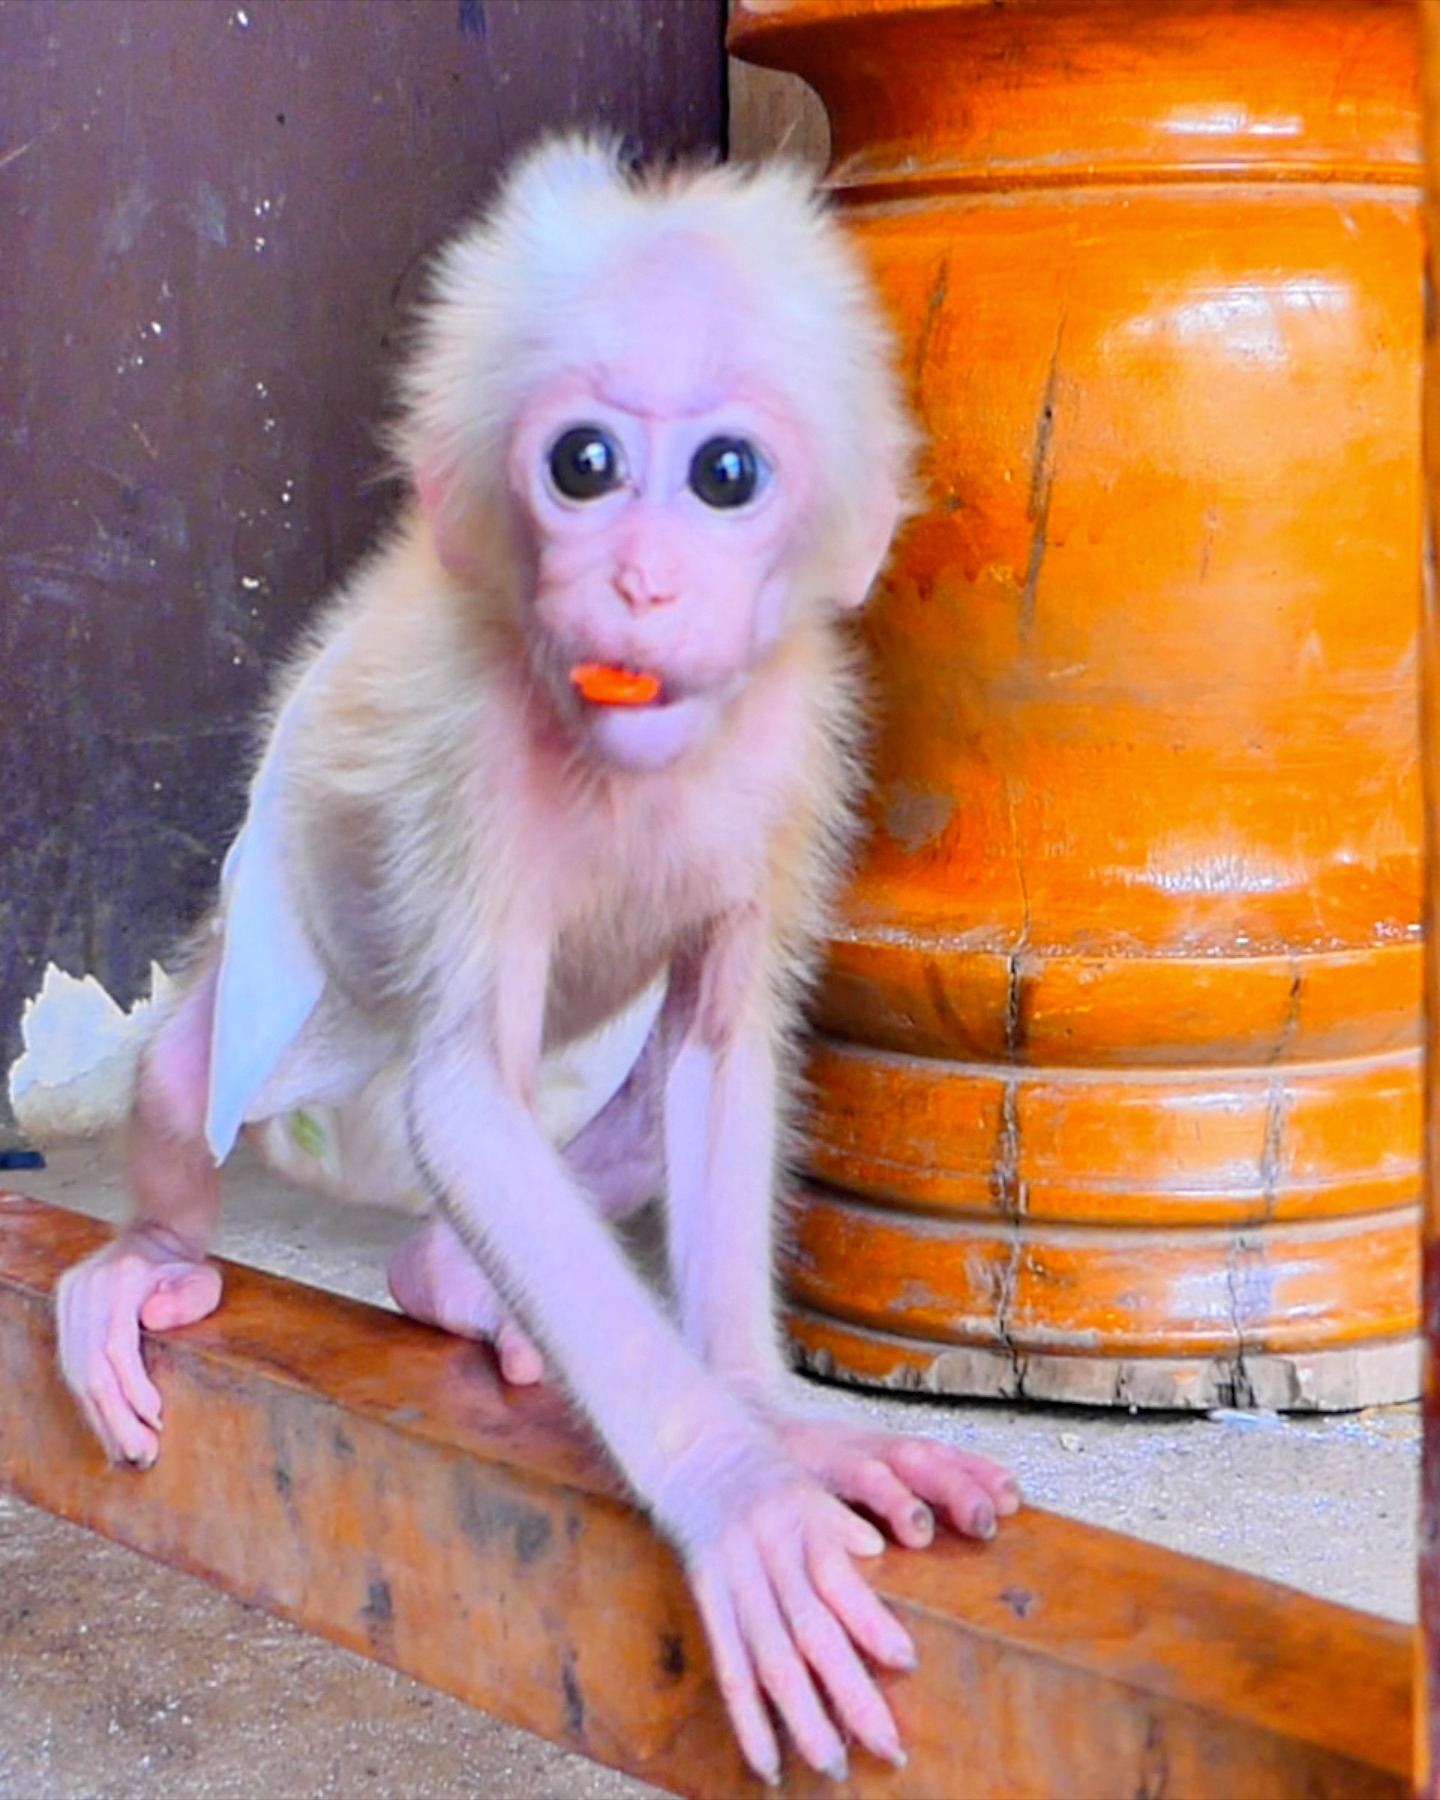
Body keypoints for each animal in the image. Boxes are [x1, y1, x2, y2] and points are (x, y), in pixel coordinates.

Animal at [55, 139, 1019, 1785]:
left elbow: (720, 1060)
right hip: (290, 1043)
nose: (640, 582)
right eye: (583, 466)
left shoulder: (788, 752)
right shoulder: (476, 754)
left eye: (724, 476)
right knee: (206, 1075)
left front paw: (772, 1414)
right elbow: (467, 1100)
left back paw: (451, 1281)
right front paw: (738, 1494)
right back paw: (157, 1257)